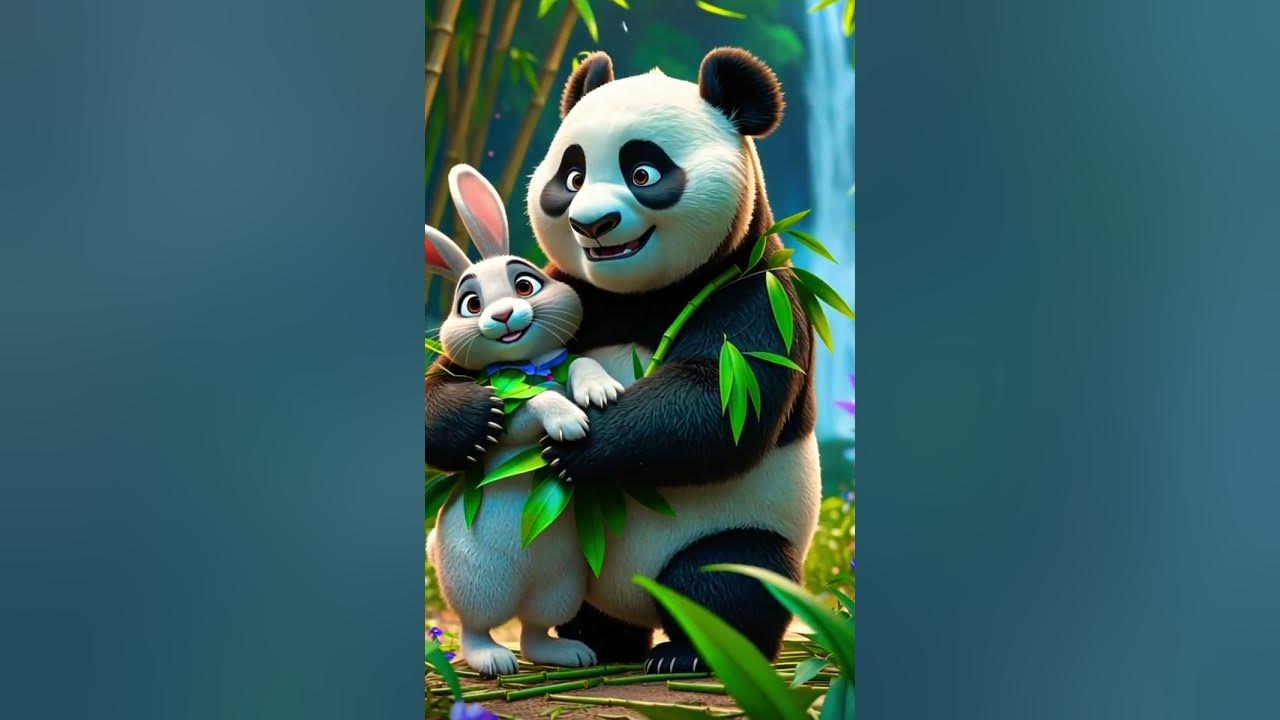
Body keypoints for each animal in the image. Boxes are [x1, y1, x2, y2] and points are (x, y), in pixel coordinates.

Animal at [425, 164, 625, 676]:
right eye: (470, 304)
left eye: (526, 285)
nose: (502, 316)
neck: (529, 365)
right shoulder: (507, 405)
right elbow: (522, 413)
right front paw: (568, 421)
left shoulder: (564, 359)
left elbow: (581, 363)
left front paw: (601, 391)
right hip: (473, 580)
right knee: (475, 626)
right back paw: (493, 660)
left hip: (562, 585)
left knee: (537, 628)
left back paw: (570, 653)